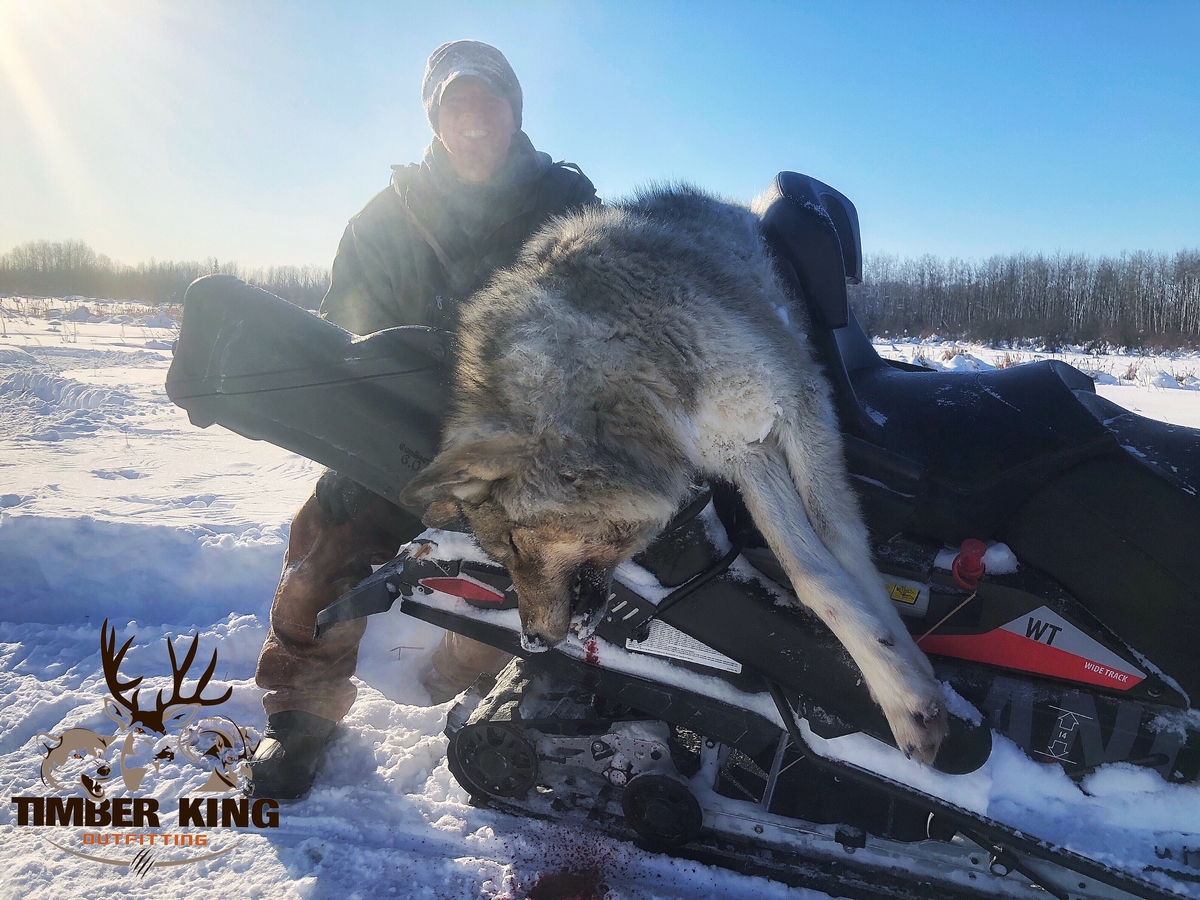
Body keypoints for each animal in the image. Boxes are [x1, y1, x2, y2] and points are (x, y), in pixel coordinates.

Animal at [401, 186, 948, 762]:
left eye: (512, 547)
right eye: (500, 555)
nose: (531, 642)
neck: (629, 361)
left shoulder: (801, 404)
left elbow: (841, 541)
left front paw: (906, 681)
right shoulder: (746, 454)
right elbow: (812, 578)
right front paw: (901, 684)